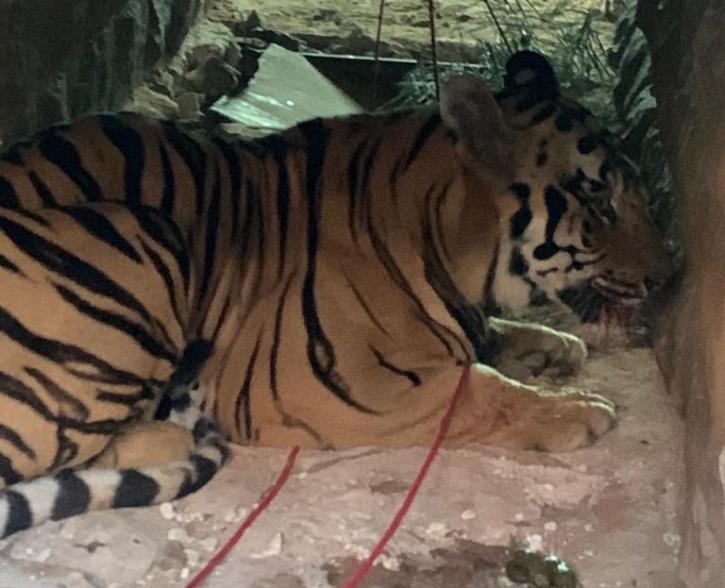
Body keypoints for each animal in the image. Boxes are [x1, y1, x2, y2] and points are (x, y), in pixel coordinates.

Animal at [0, 50, 671, 537]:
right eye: (602, 204)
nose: (666, 275)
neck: (446, 239)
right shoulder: (320, 384)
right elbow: (475, 388)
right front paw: (578, 409)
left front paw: (554, 349)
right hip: (141, 237)